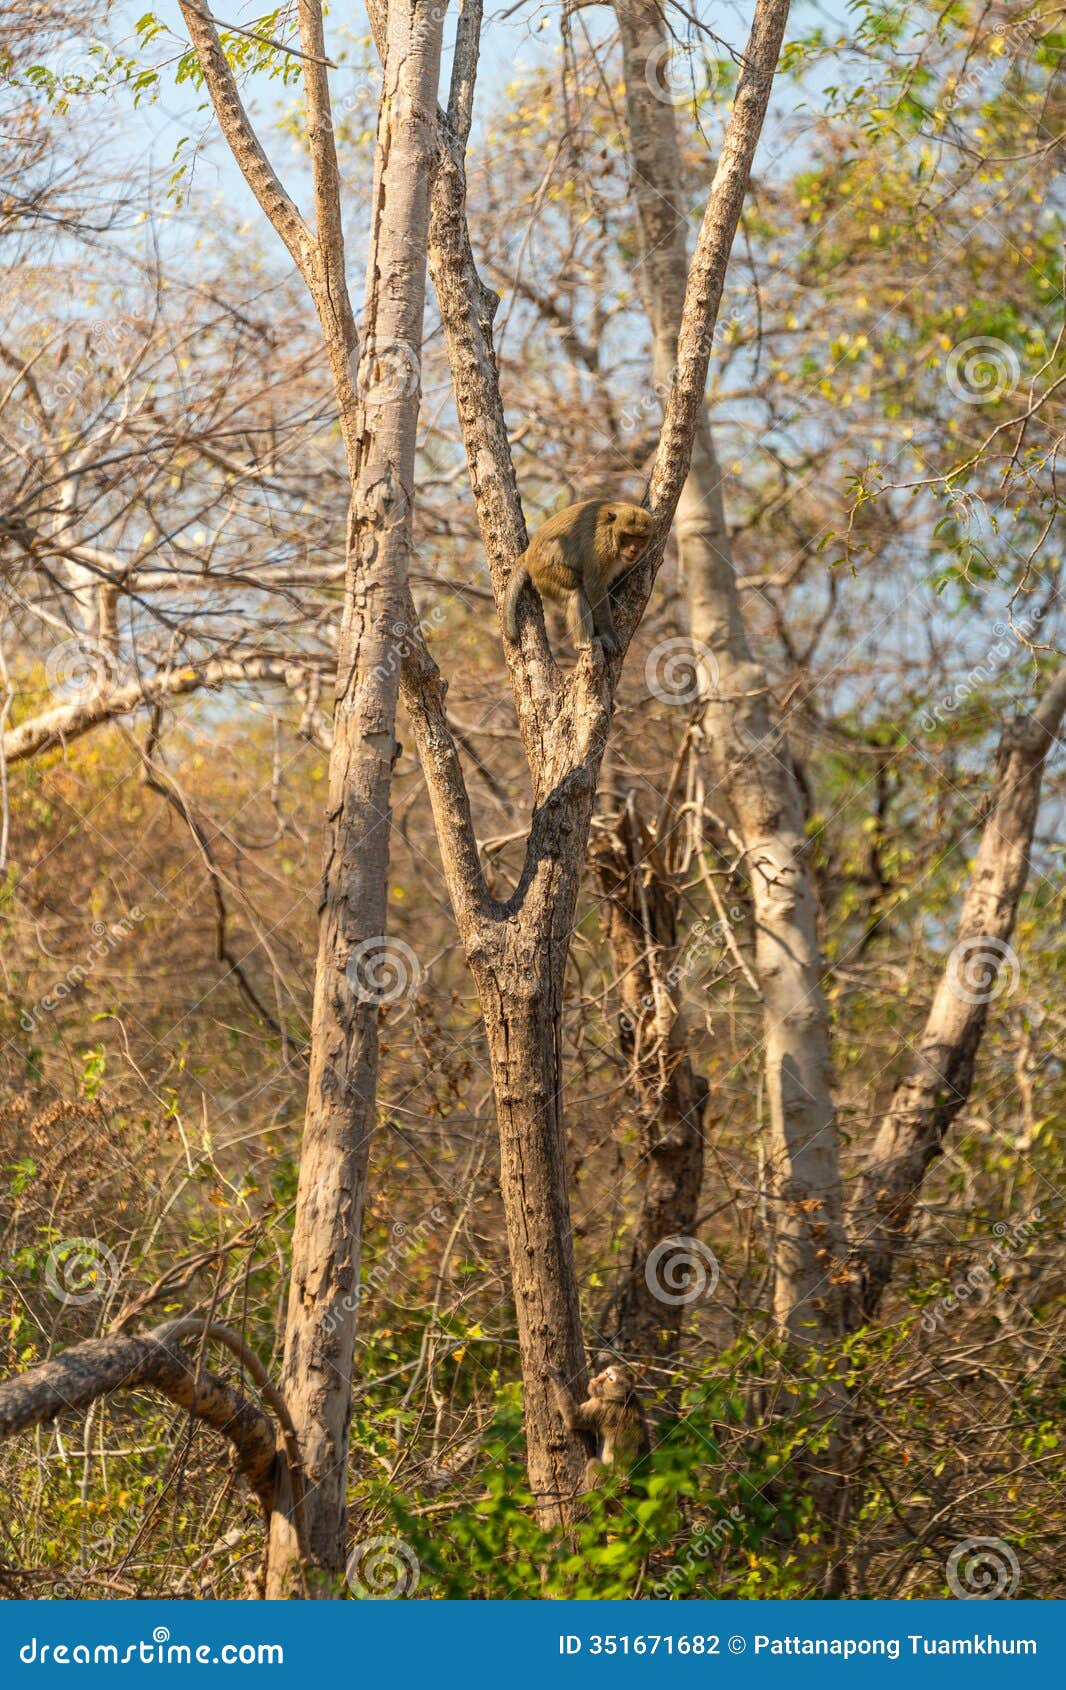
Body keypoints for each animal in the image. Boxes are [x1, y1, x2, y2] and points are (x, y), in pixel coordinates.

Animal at [503, 500, 654, 658]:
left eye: (640, 538)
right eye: (628, 535)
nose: (634, 550)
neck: (611, 531)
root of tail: (528, 554)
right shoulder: (601, 546)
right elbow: (594, 585)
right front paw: (607, 634)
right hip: (545, 574)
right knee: (575, 591)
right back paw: (584, 642)